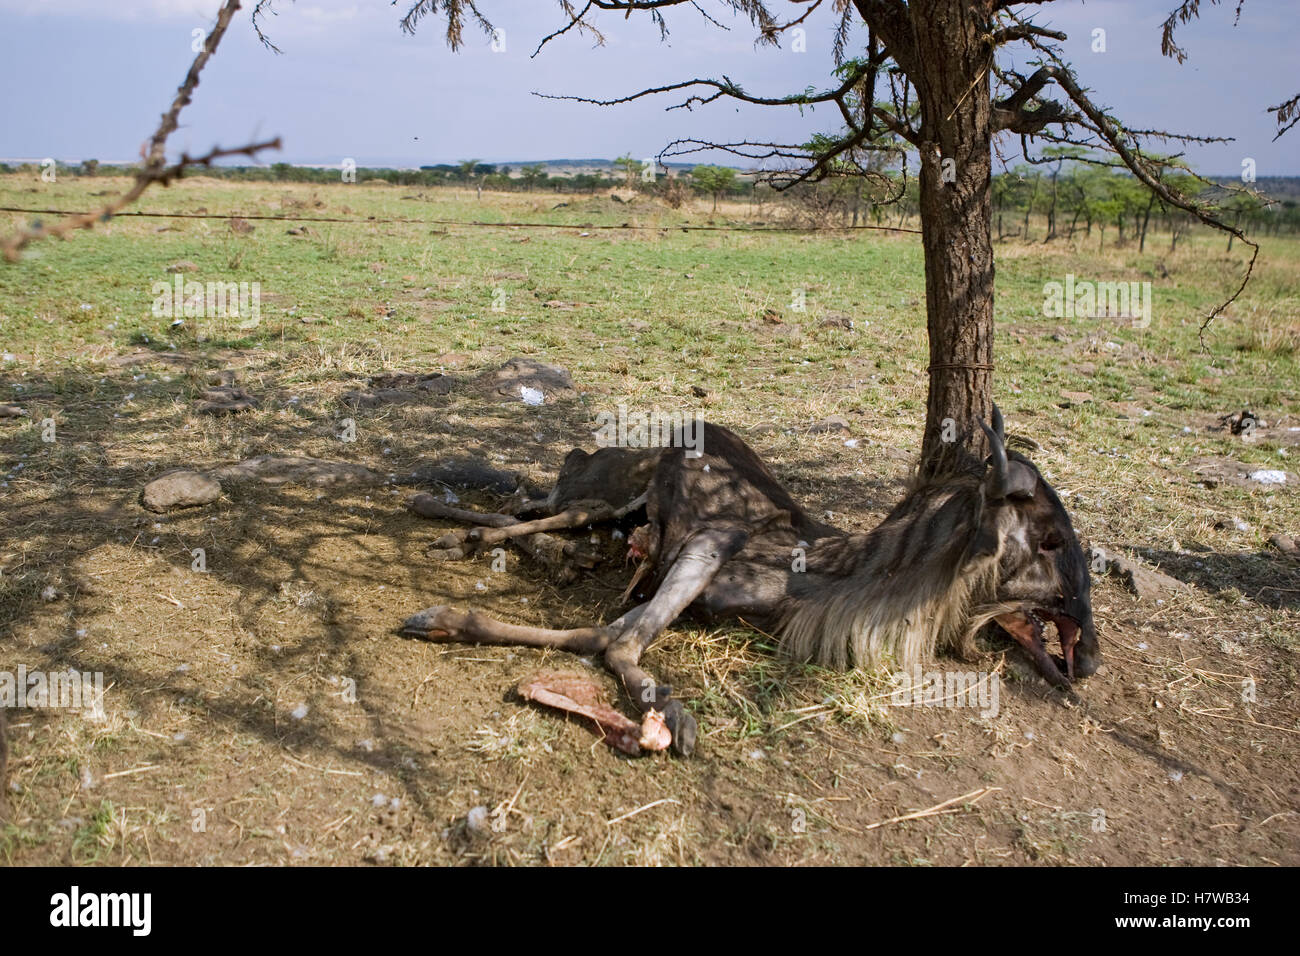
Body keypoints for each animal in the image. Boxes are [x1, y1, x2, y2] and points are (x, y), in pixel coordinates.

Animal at [402, 410, 1100, 756]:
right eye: (1050, 539)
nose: (1090, 659)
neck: (838, 577)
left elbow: (607, 635)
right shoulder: (709, 547)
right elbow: (616, 639)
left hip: (625, 511)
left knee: (541, 513)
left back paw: (460, 531)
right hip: (622, 492)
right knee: (549, 508)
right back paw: (445, 524)